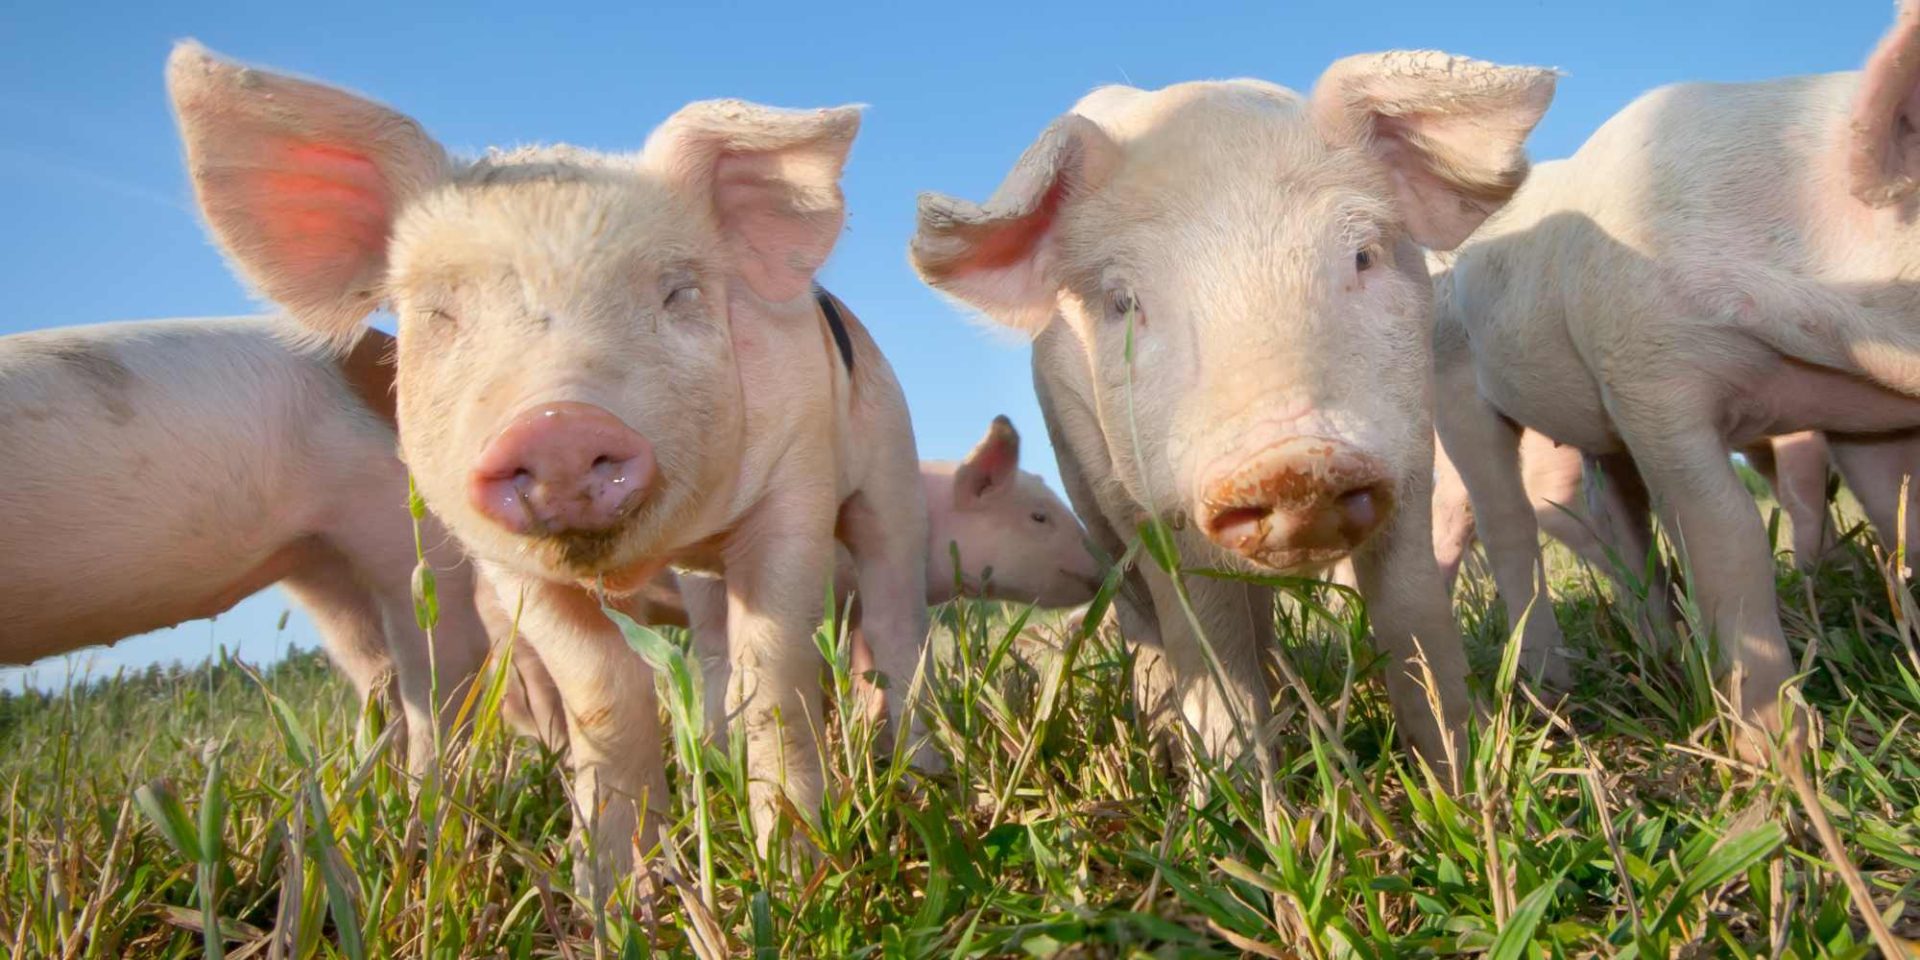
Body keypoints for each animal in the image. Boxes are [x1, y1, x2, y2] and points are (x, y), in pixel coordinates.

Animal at [167, 43, 932, 881]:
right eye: (438, 313)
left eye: (677, 292)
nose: (557, 424)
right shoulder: (504, 565)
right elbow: (604, 691)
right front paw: (613, 884)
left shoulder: (795, 482)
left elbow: (776, 674)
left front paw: (793, 869)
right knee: (711, 651)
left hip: (891, 465)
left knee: (894, 614)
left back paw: (921, 772)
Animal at [909, 53, 1557, 784]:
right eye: (1123, 302)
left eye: (1362, 254)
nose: (1290, 463)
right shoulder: (1148, 503)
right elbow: (1206, 638)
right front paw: (1232, 793)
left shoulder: (1412, 450)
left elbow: (1411, 612)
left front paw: (1462, 775)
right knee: (1142, 620)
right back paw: (1166, 738)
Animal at [1432, 0, 1920, 757]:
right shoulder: (1651, 376)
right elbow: (1727, 533)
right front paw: (1779, 752)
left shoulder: (1861, 416)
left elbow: (1900, 514)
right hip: (1456, 386)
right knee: (1507, 524)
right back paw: (1550, 691)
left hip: (1596, 425)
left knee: (1618, 521)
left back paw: (1660, 652)